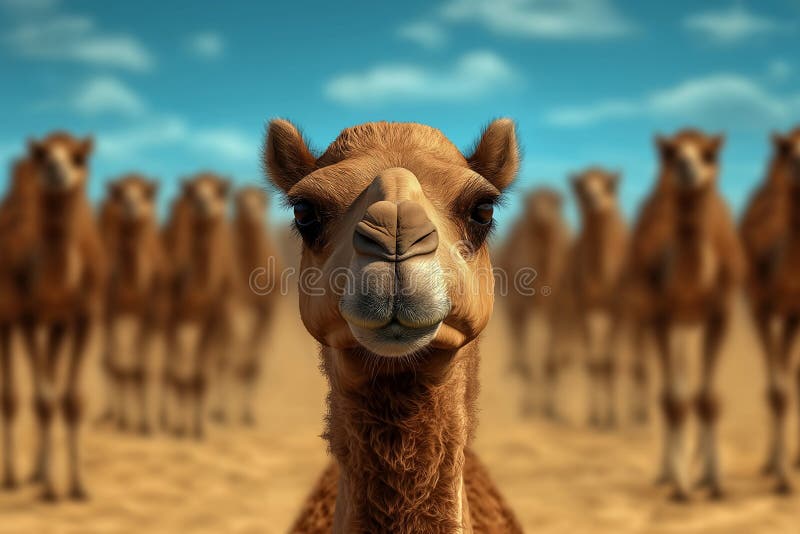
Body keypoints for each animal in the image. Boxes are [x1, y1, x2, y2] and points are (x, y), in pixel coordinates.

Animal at [10, 132, 107, 500]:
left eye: (79, 157)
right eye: (41, 154)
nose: (55, 170)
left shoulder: (85, 317)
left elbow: (72, 400)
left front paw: (78, 486)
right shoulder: (23, 316)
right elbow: (42, 400)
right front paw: (52, 489)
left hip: (56, 327)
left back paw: (37, 472)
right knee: (13, 397)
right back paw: (14, 477)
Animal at [98, 175, 166, 434]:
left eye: (145, 193)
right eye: (120, 193)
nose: (131, 206)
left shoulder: (150, 313)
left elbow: (141, 369)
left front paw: (145, 424)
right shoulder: (110, 310)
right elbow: (115, 364)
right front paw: (119, 419)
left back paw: (162, 416)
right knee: (112, 361)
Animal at [162, 173, 237, 438]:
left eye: (220, 191)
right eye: (193, 191)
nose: (202, 203)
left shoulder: (213, 317)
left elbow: (200, 377)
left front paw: (197, 429)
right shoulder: (172, 314)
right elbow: (175, 374)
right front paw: (175, 427)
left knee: (222, 359)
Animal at [498, 188, 571, 417]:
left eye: (554, 201)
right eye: (531, 202)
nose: (542, 217)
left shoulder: (559, 306)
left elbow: (550, 361)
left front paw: (552, 407)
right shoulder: (521, 303)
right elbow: (529, 358)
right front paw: (528, 405)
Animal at [628, 129, 744, 501]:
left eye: (710, 154)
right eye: (671, 153)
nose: (685, 166)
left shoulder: (721, 314)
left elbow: (709, 399)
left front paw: (716, 482)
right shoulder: (660, 316)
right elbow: (673, 401)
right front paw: (680, 487)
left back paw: (701, 472)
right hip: (671, 321)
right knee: (675, 390)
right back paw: (668, 474)